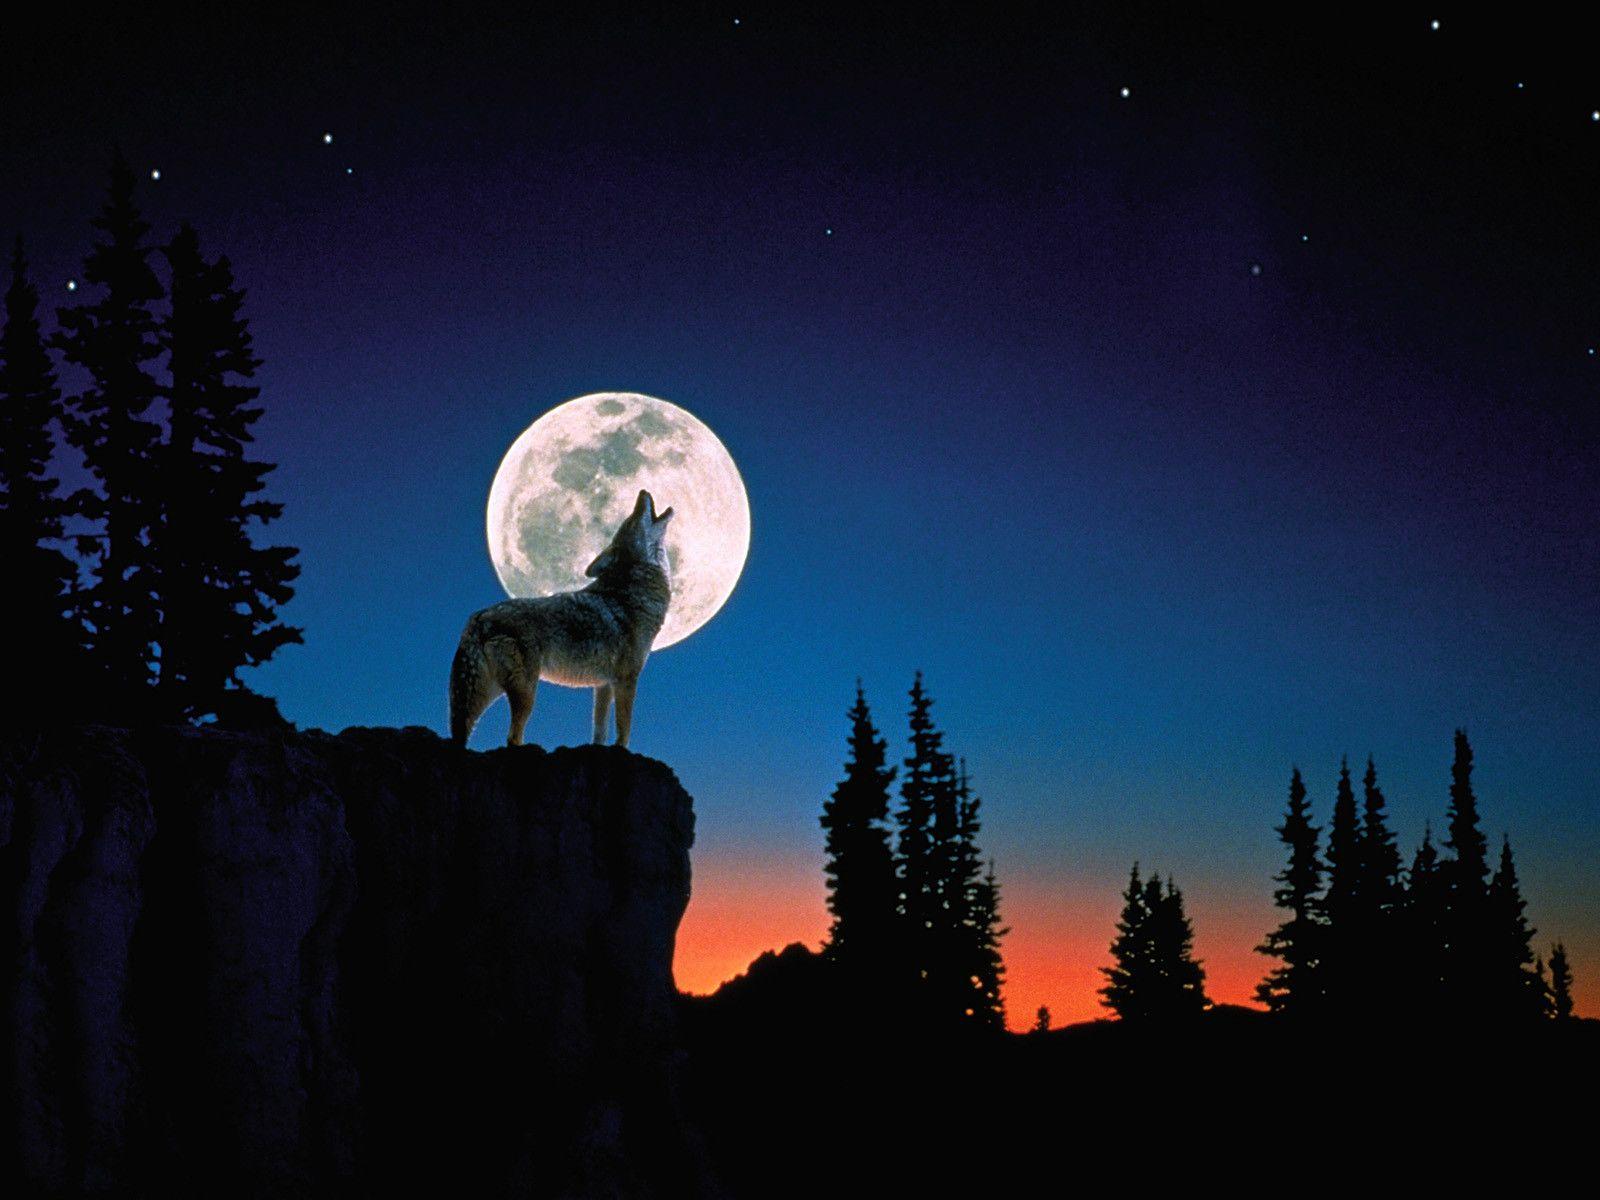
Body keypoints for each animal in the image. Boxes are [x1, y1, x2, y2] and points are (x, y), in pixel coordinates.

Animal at [449, 489, 673, 748]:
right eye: (632, 520)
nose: (642, 491)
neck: (635, 588)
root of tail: (478, 618)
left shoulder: (603, 685)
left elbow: (600, 730)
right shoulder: (626, 679)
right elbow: (623, 729)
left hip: (486, 694)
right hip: (526, 692)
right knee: (512, 737)